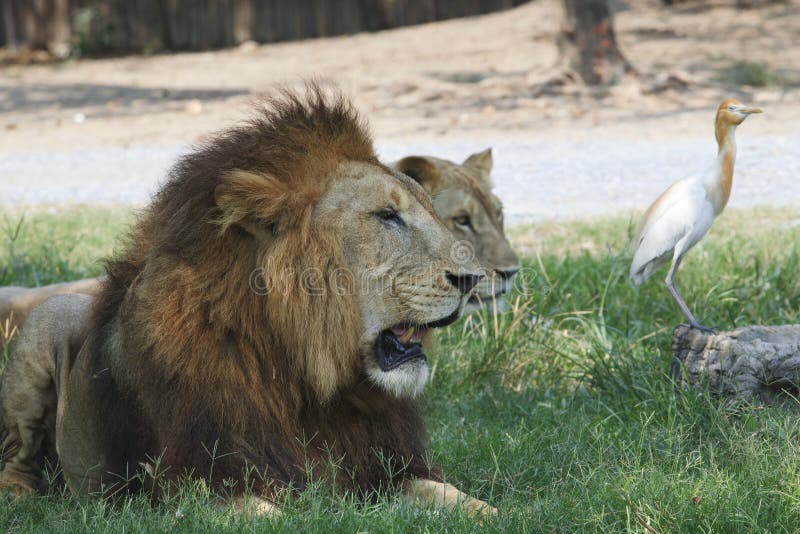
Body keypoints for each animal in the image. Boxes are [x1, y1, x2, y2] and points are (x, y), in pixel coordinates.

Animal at [0, 87, 496, 519]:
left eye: (432, 211)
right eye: (387, 216)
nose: (473, 278)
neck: (306, 377)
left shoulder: (384, 467)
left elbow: (452, 494)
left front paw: (490, 511)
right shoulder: (196, 484)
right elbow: (277, 513)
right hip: (45, 322)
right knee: (16, 457)